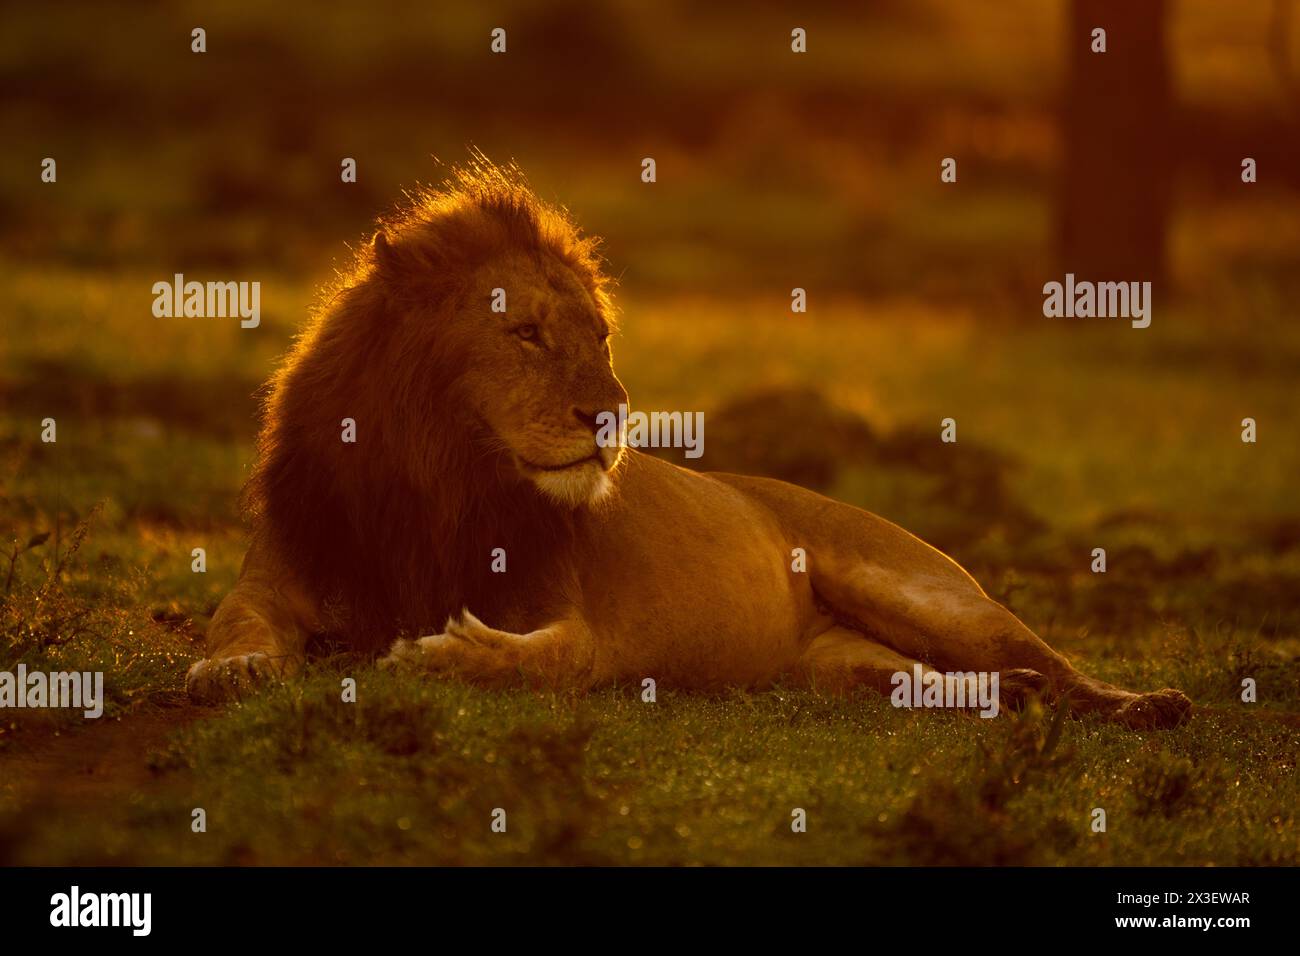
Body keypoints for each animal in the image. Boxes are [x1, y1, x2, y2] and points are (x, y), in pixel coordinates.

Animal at [187, 156, 1192, 729]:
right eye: (527, 334)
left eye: (599, 337)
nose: (612, 417)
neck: (438, 478)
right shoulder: (276, 571)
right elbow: (234, 622)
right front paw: (231, 670)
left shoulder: (583, 627)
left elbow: (539, 658)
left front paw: (435, 654)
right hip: (841, 669)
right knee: (944, 682)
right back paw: (1010, 699)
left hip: (929, 595)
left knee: (1057, 664)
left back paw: (1147, 706)